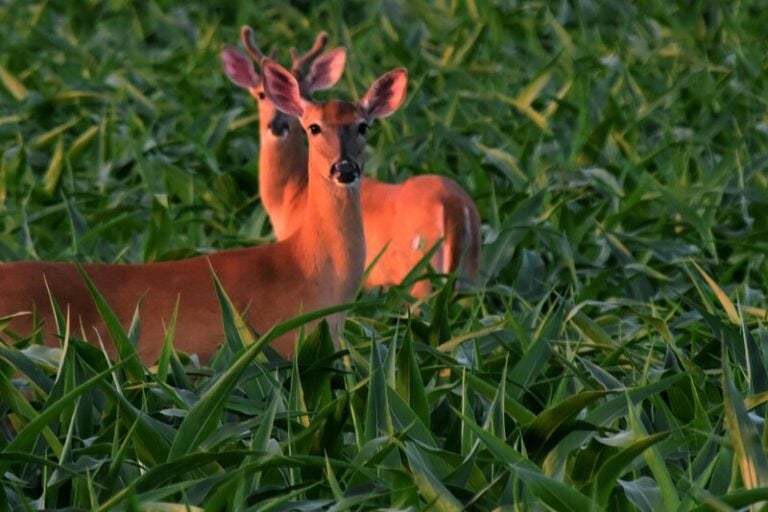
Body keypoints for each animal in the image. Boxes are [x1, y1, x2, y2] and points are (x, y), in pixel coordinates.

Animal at [222, 26, 481, 299]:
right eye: (261, 95)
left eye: (309, 94)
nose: (277, 125)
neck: (292, 196)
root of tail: (454, 207)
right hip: (470, 277)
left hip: (418, 275)